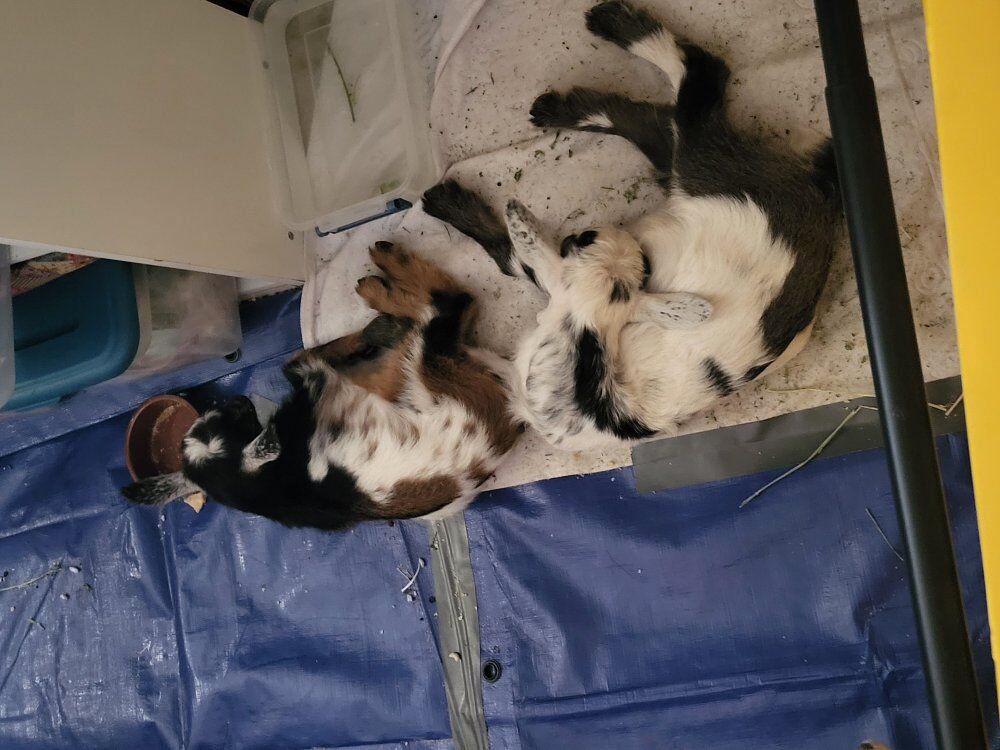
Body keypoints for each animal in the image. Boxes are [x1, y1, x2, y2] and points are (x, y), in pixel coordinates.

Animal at [121, 243, 521, 529]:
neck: (269, 483)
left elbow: (301, 360)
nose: (238, 400)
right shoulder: (314, 379)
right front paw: (372, 331)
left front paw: (374, 330)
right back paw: (382, 278)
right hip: (427, 362)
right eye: (236, 420)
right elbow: (298, 359)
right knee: (452, 301)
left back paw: (381, 280)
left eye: (213, 417)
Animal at [422, 0, 840, 451]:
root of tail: (819, 193)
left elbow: (516, 256)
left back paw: (609, 26)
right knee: (655, 118)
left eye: (584, 237)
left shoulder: (556, 290)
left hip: (708, 173)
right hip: (686, 177)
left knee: (700, 79)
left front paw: (452, 206)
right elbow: (516, 259)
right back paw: (560, 99)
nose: (589, 236)